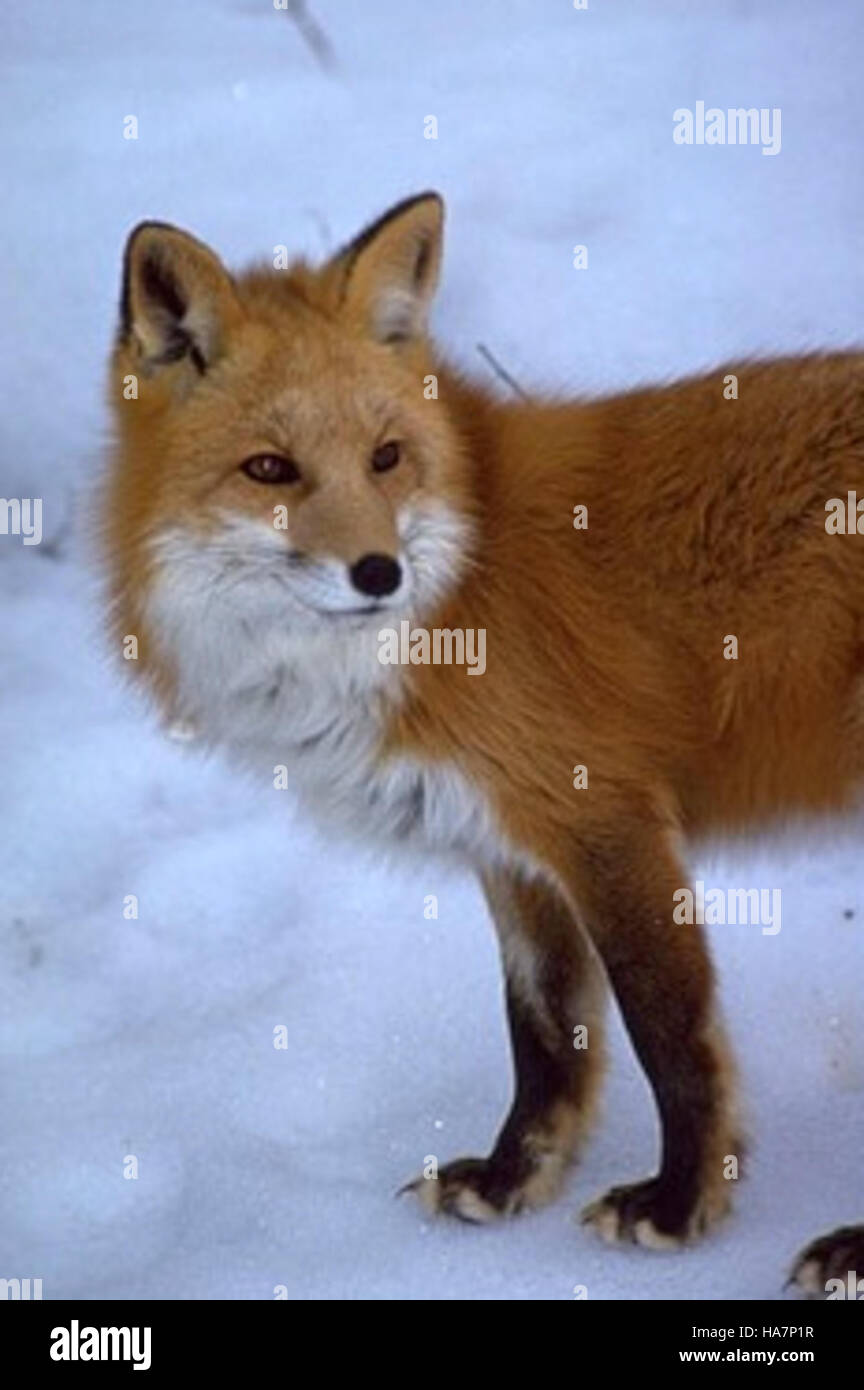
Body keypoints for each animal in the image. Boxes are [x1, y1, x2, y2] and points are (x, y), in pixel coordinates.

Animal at [103, 191, 864, 1296]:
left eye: (385, 458)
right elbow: (546, 1032)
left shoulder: (605, 821)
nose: (377, 572)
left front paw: (680, 1206)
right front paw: (512, 1182)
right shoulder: (509, 848)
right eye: (270, 471)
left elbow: (669, 1032)